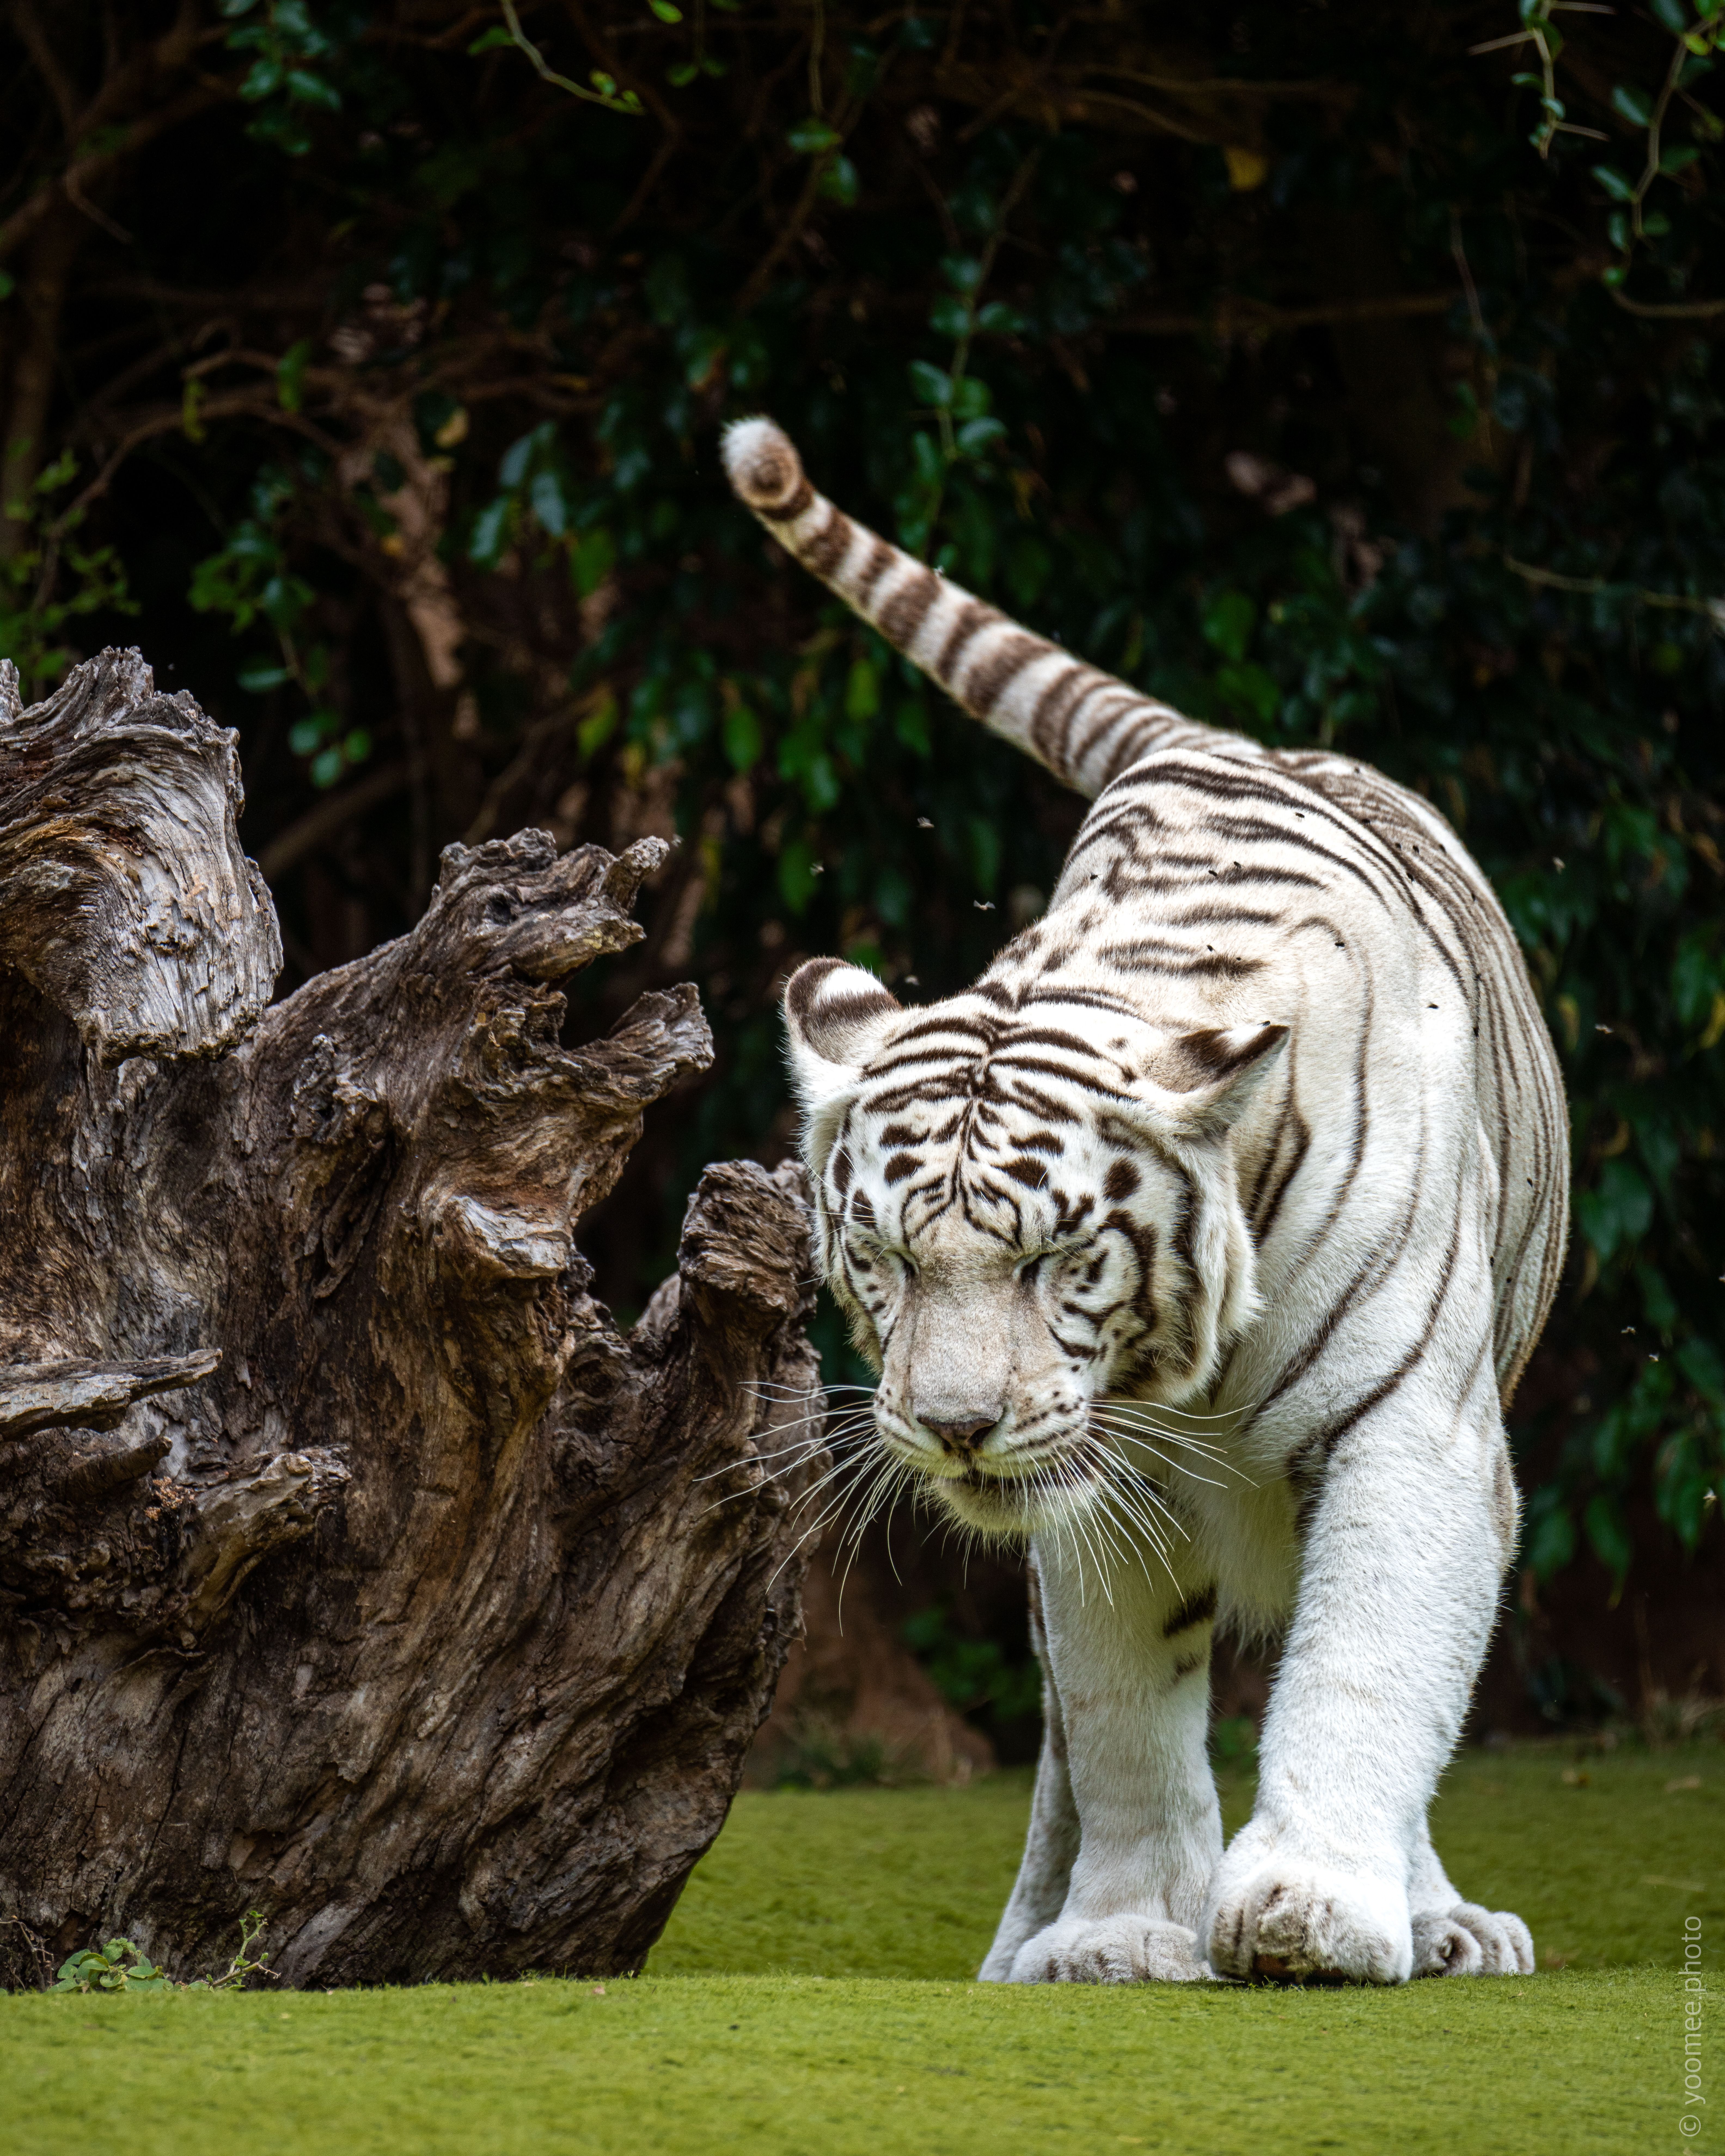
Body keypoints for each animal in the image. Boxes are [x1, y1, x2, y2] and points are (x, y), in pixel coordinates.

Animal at [721, 416, 1566, 1986]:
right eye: (884, 1261)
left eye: (1057, 1260)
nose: (954, 1427)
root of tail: (1214, 740)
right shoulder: (1090, 1486)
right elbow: (1119, 1718)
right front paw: (1116, 1934)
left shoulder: (1414, 1430)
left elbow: (1370, 1668)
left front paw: (1306, 1913)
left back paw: (1438, 1921)